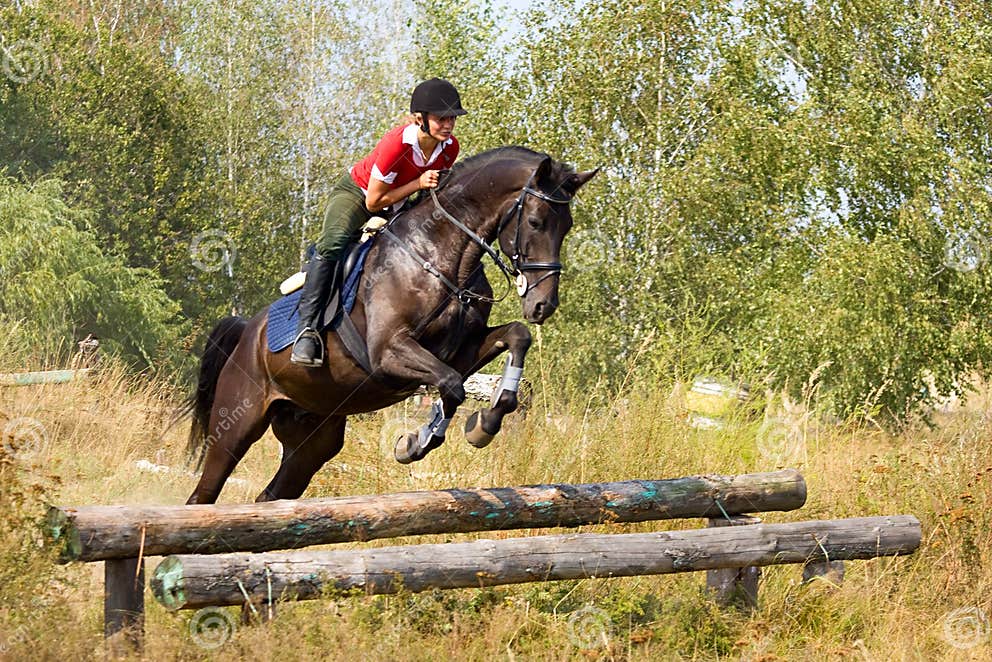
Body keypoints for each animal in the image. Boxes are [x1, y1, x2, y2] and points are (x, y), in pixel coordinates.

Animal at [184, 146, 597, 504]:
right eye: (535, 222)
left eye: (567, 227)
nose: (543, 305)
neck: (441, 254)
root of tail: (246, 333)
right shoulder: (388, 353)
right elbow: (451, 386)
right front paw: (415, 444)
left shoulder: (460, 350)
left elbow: (514, 338)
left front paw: (486, 422)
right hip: (236, 424)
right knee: (204, 493)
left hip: (314, 435)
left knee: (272, 494)